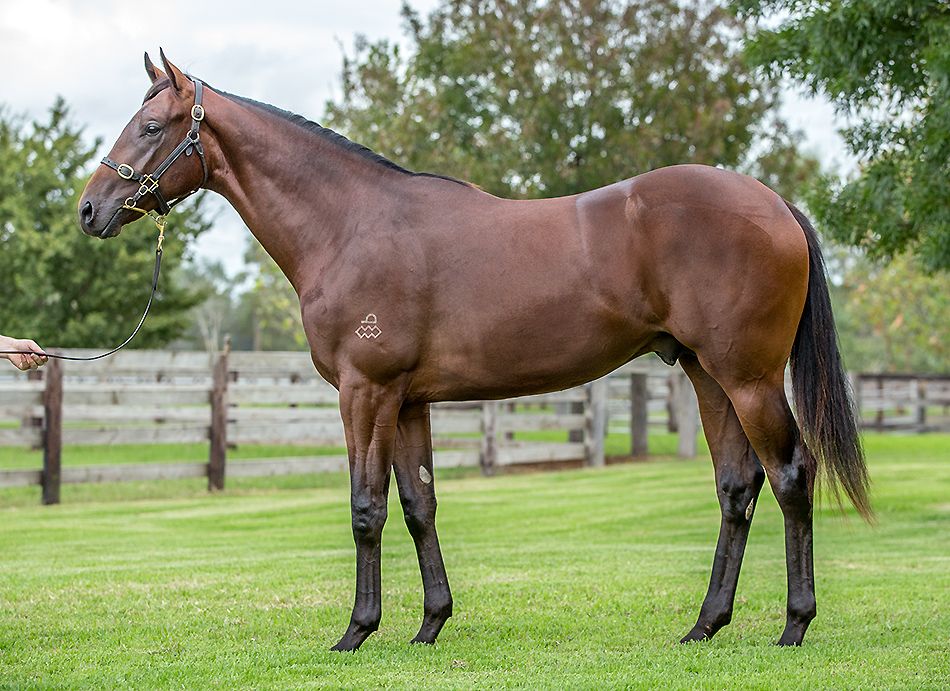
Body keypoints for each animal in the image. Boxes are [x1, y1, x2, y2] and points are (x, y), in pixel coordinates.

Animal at [78, 51, 870, 652]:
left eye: (151, 126)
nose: (90, 210)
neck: (350, 224)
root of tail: (774, 203)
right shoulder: (406, 401)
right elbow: (418, 503)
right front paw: (430, 624)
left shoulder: (364, 391)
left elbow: (366, 507)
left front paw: (356, 631)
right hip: (709, 375)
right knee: (737, 486)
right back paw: (705, 625)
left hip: (751, 378)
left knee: (792, 475)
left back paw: (794, 625)